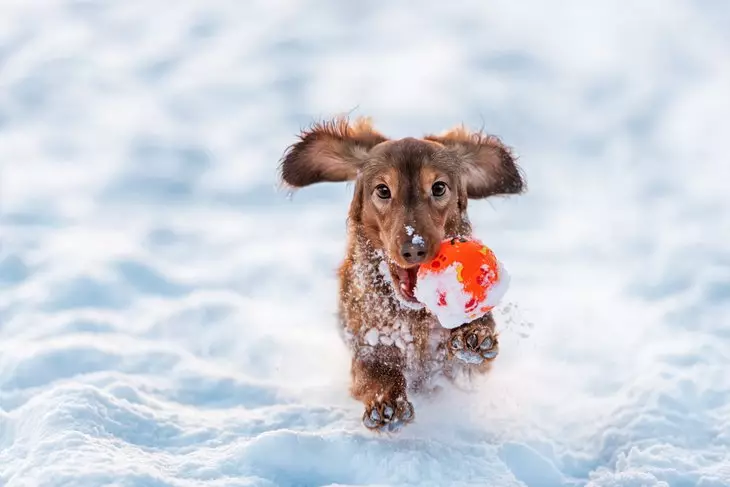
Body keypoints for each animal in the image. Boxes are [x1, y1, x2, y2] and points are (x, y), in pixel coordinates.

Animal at [278, 118, 524, 434]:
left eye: (439, 187)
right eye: (383, 190)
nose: (414, 248)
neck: (413, 317)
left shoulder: (467, 367)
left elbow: (475, 346)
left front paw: (474, 334)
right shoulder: (368, 342)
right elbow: (376, 371)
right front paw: (387, 403)